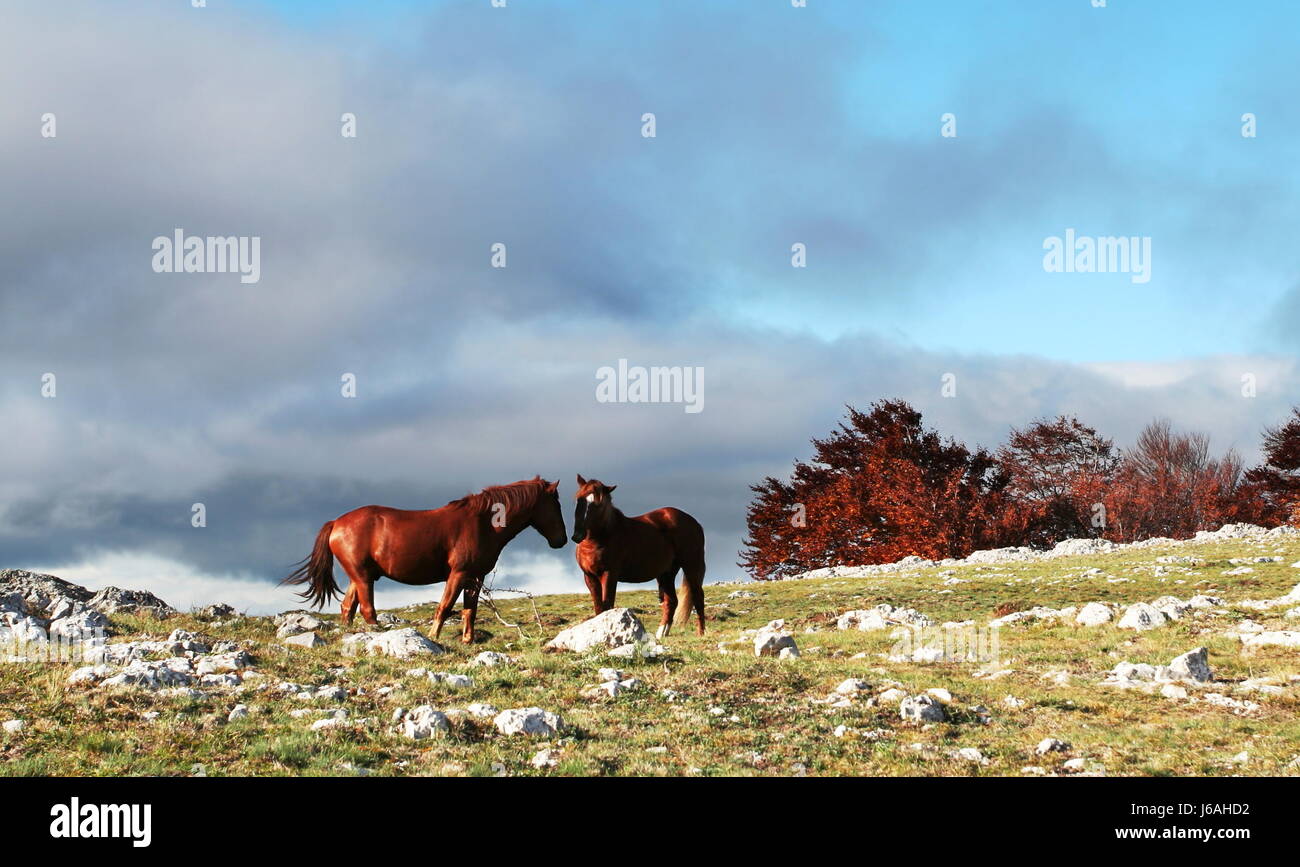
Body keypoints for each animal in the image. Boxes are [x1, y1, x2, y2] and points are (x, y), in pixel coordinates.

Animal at [281, 477, 567, 644]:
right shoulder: (459, 573)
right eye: (556, 503)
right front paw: (433, 637)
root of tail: (336, 522)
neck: (483, 523)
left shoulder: (476, 577)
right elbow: (445, 606)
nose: (562, 540)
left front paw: (467, 641)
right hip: (363, 577)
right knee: (367, 610)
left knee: (347, 608)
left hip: (360, 576)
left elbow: (470, 610)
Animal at [571, 474, 706, 637]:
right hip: (666, 573)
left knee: (698, 597)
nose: (577, 535)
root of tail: (694, 522)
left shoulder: (609, 575)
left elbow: (607, 604)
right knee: (671, 601)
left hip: (691, 565)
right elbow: (598, 607)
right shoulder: (589, 576)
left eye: (598, 504)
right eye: (578, 499)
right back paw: (661, 633)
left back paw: (701, 633)